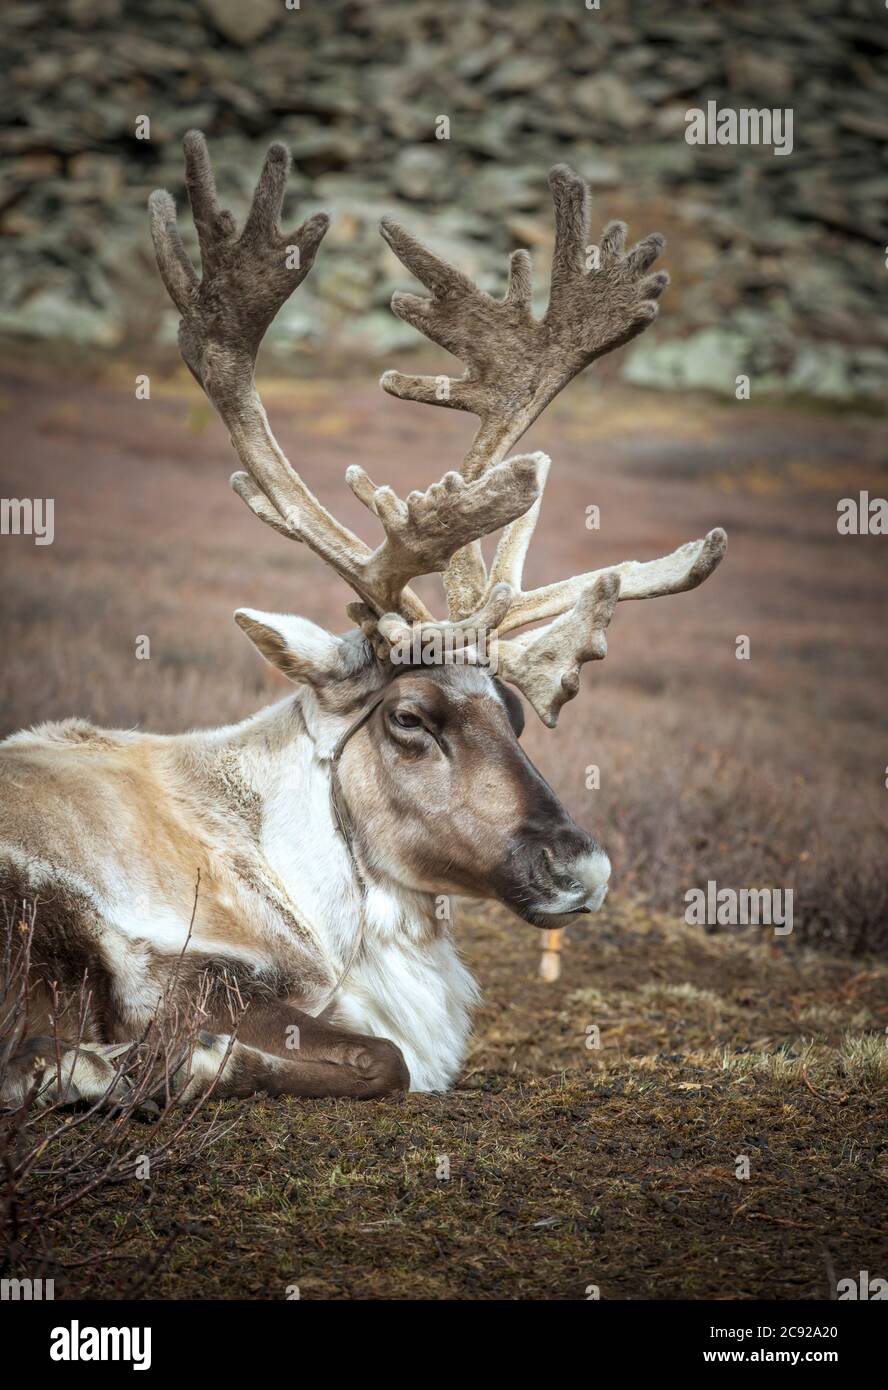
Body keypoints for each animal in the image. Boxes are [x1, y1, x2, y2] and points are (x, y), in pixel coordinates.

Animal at [0, 134, 726, 1107]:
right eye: (410, 717)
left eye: (515, 710)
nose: (583, 868)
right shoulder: (169, 965)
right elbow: (380, 1057)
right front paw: (177, 1063)